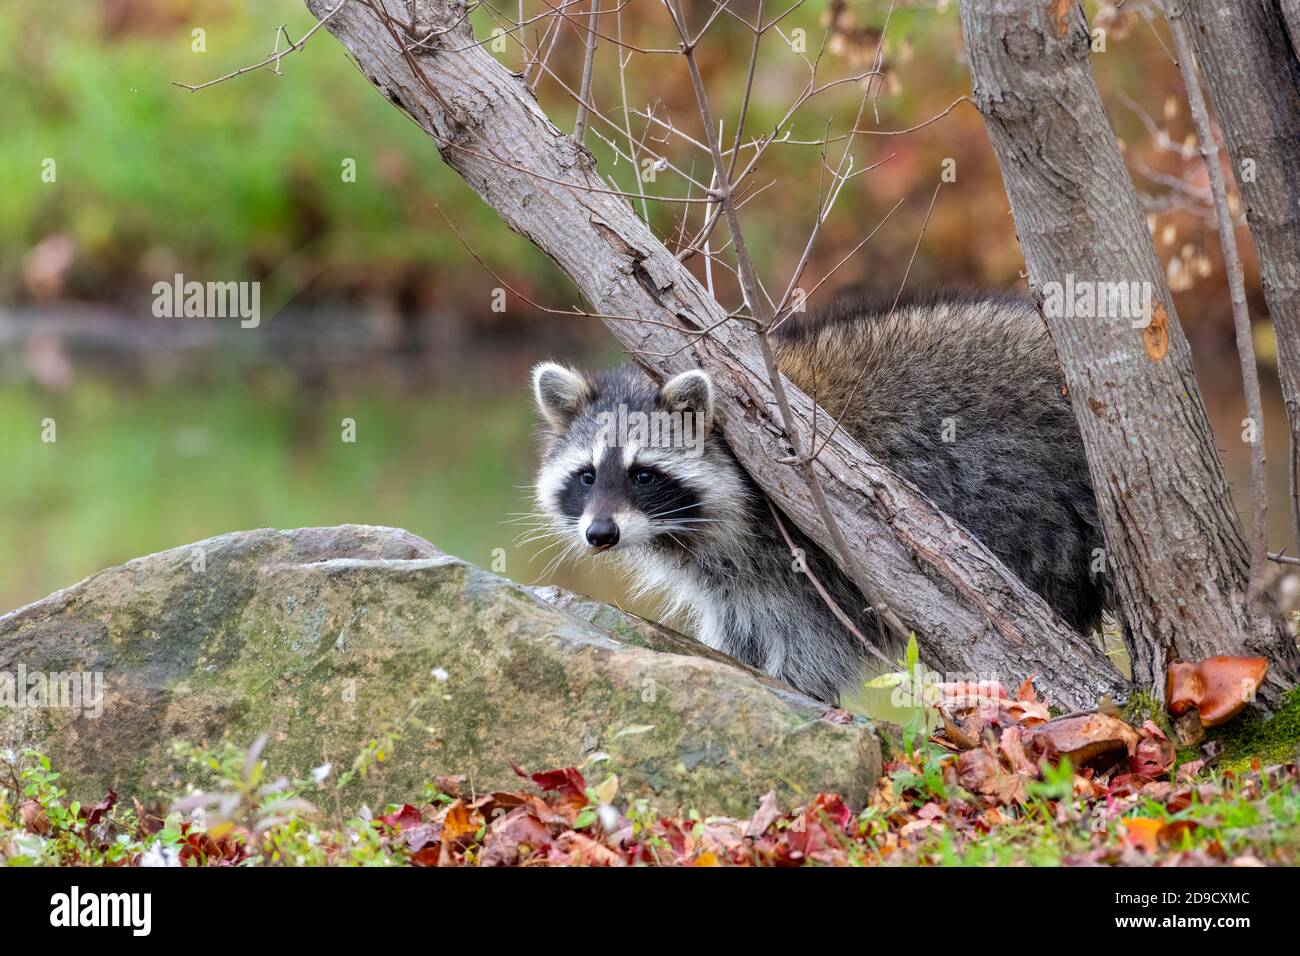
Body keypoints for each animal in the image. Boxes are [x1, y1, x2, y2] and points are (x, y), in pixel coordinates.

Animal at [530, 291, 1107, 702]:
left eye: (643, 475)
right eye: (587, 476)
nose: (600, 534)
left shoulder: (816, 553)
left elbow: (817, 639)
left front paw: (792, 688)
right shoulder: (738, 578)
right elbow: (740, 625)